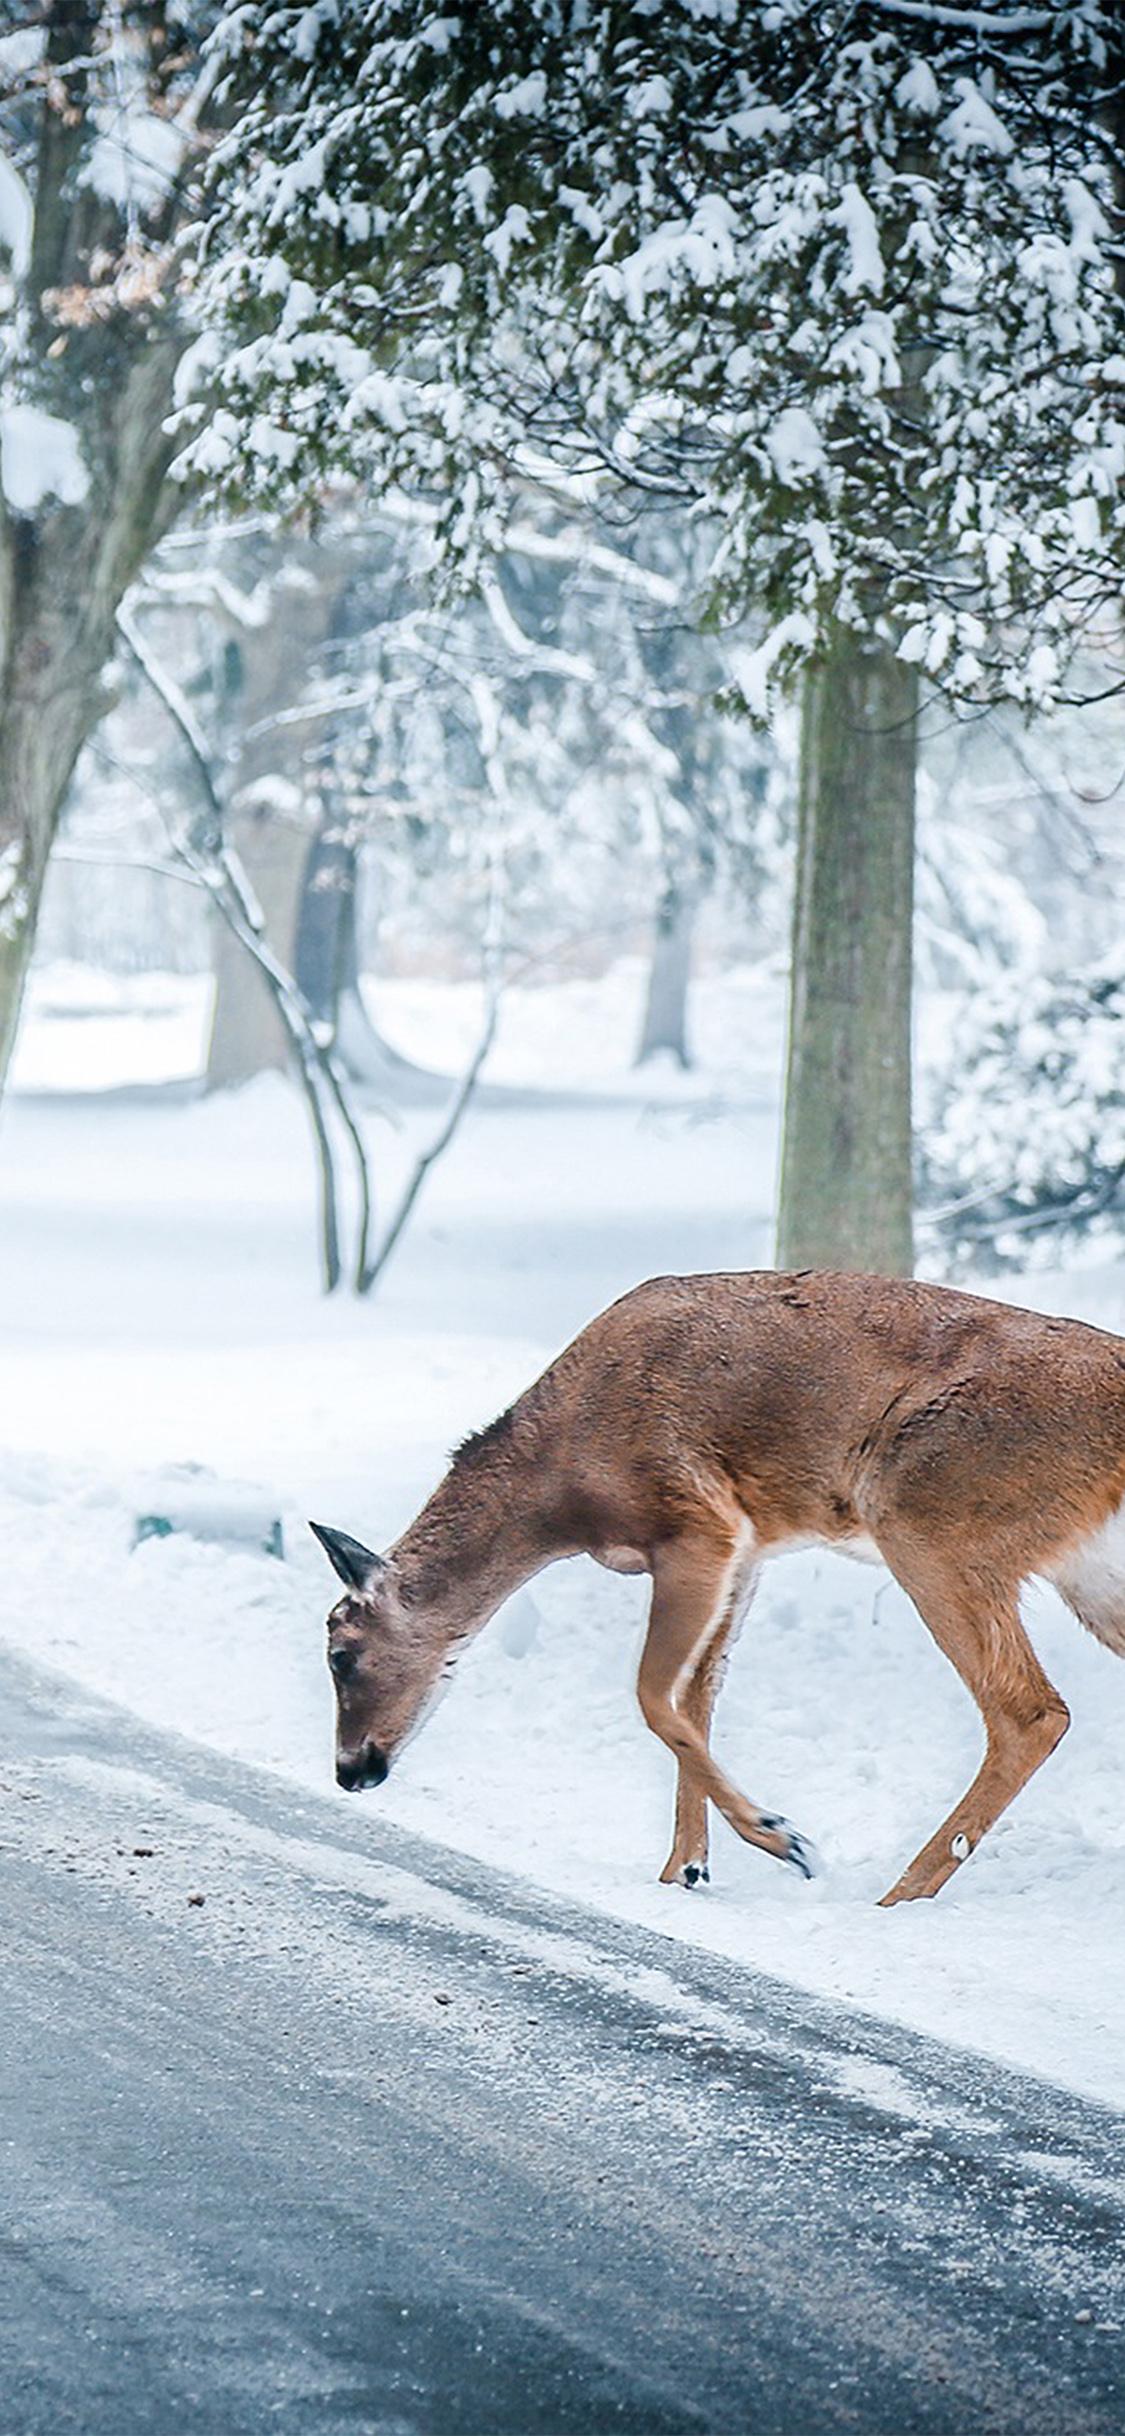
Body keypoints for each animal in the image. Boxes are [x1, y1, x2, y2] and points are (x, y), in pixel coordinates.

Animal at [311, 1269, 1125, 1905]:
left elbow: (652, 1696)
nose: (350, 1771)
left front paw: (783, 1838)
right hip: (1085, 1573)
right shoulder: (749, 1550)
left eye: (340, 1653)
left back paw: (897, 1893)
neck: (560, 1490)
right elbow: (696, 1700)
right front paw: (686, 1869)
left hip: (928, 1514)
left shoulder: (698, 1525)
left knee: (1031, 1712)